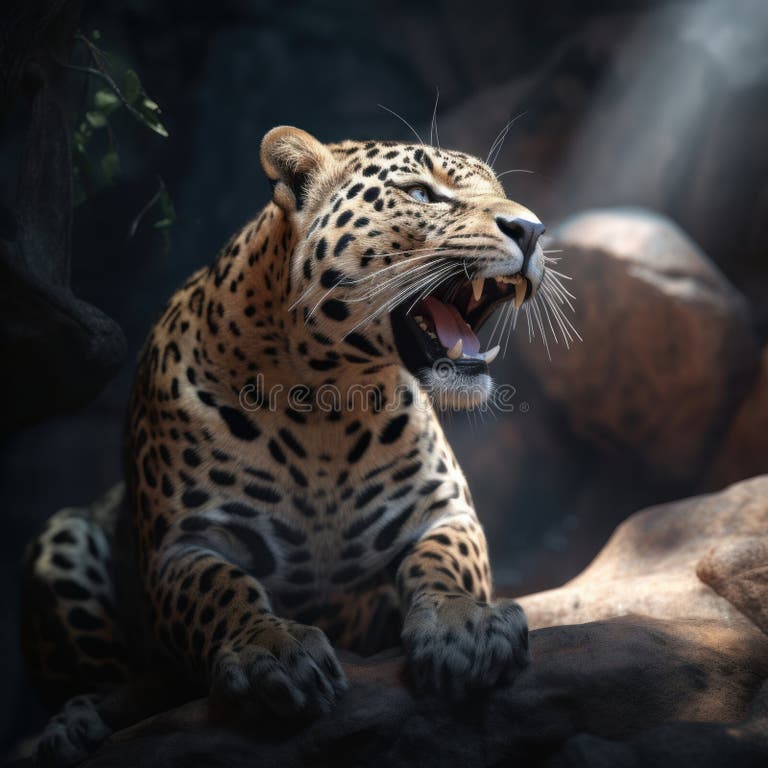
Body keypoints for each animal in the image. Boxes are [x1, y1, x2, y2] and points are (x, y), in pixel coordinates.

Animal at [22, 126, 551, 765]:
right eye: (422, 194)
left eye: (500, 190)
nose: (531, 229)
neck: (327, 403)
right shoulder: (182, 545)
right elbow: (220, 589)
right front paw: (272, 652)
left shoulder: (442, 510)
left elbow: (446, 561)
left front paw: (465, 626)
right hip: (63, 536)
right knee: (125, 681)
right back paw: (77, 724)